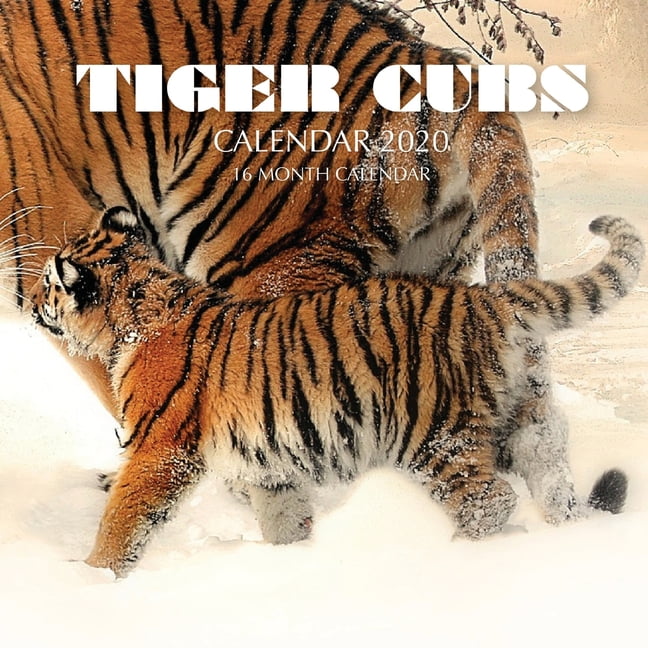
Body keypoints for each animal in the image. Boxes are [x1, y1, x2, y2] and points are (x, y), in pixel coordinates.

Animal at [29, 206, 643, 577]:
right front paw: (294, 562)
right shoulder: (269, 465)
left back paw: (454, 556)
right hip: (516, 420)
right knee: (550, 474)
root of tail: (485, 298)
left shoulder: (159, 451)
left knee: (489, 500)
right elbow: (284, 517)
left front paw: (93, 578)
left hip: (434, 434)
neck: (136, 307)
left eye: (48, 284)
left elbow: (122, 518)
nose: (31, 301)